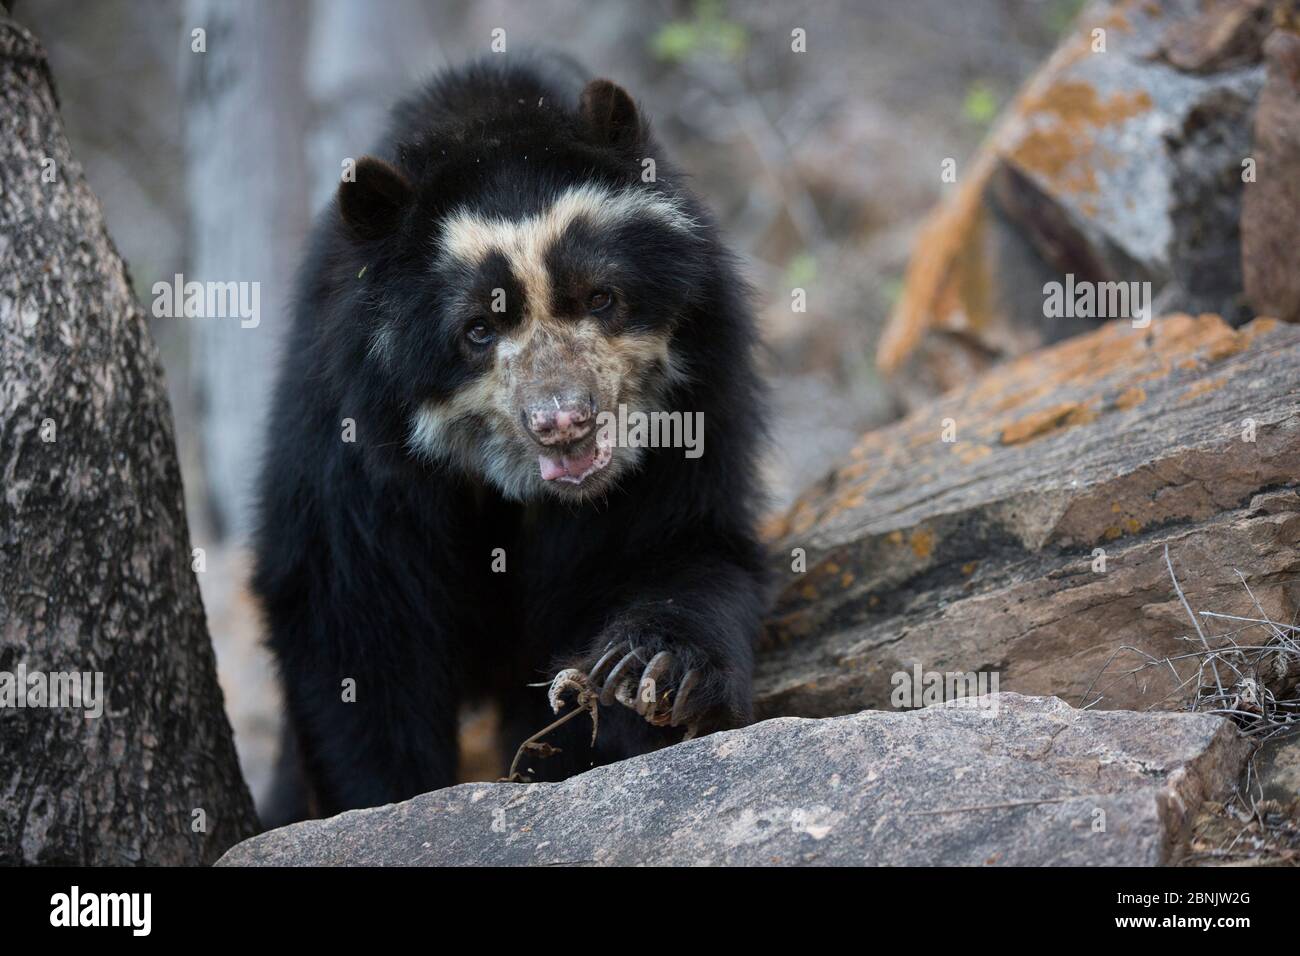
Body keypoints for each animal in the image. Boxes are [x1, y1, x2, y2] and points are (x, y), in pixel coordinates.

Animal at [253, 52, 768, 827]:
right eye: (478, 330)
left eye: (600, 297)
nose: (564, 423)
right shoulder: (347, 442)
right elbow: (354, 621)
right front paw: (389, 802)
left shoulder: (694, 407)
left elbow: (680, 546)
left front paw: (649, 670)